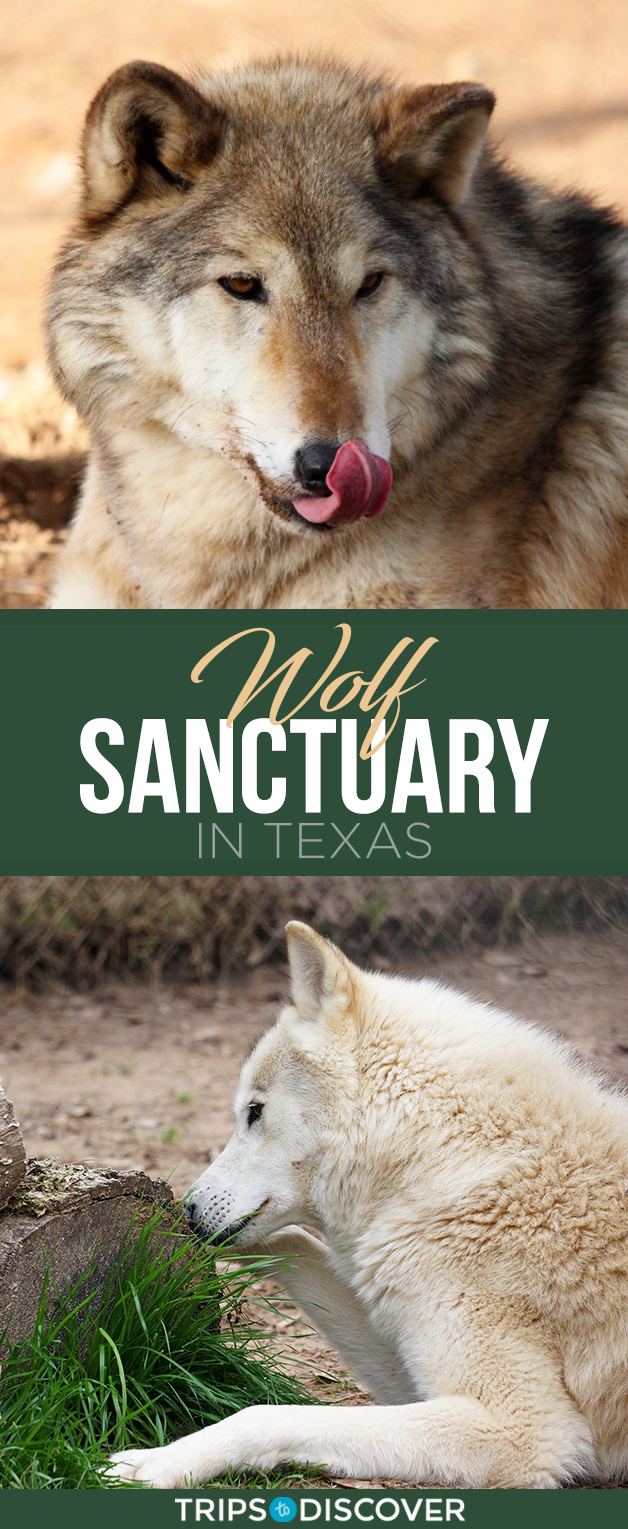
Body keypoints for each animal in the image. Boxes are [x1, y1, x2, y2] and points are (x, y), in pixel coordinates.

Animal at [110, 922, 628, 1488]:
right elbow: (292, 1240)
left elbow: (264, 1415)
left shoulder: (522, 1430)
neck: (442, 1153)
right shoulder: (409, 1369)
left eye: (254, 1111)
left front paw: (152, 1462)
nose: (187, 1210)